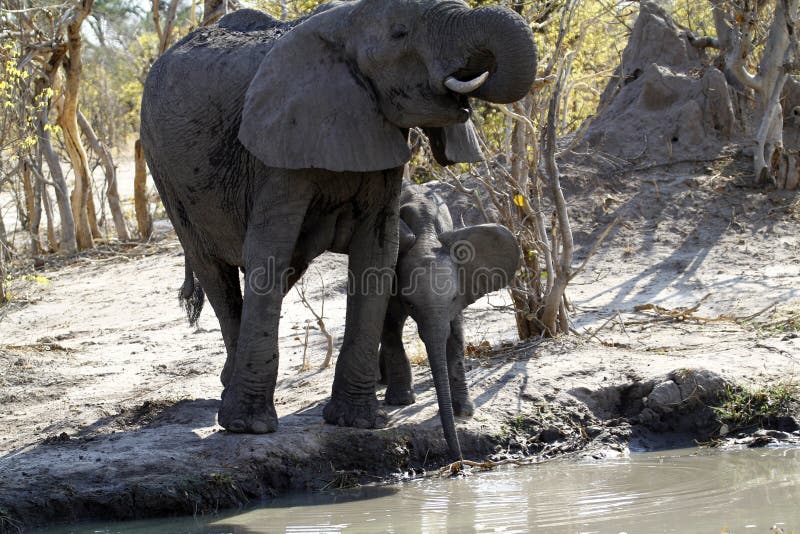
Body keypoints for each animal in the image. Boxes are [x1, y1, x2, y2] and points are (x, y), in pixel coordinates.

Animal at [378, 182, 520, 457]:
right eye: (410, 302)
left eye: (454, 297)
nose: (459, 460)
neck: (425, 235)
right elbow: (388, 323)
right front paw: (401, 401)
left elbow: (455, 334)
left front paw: (464, 411)